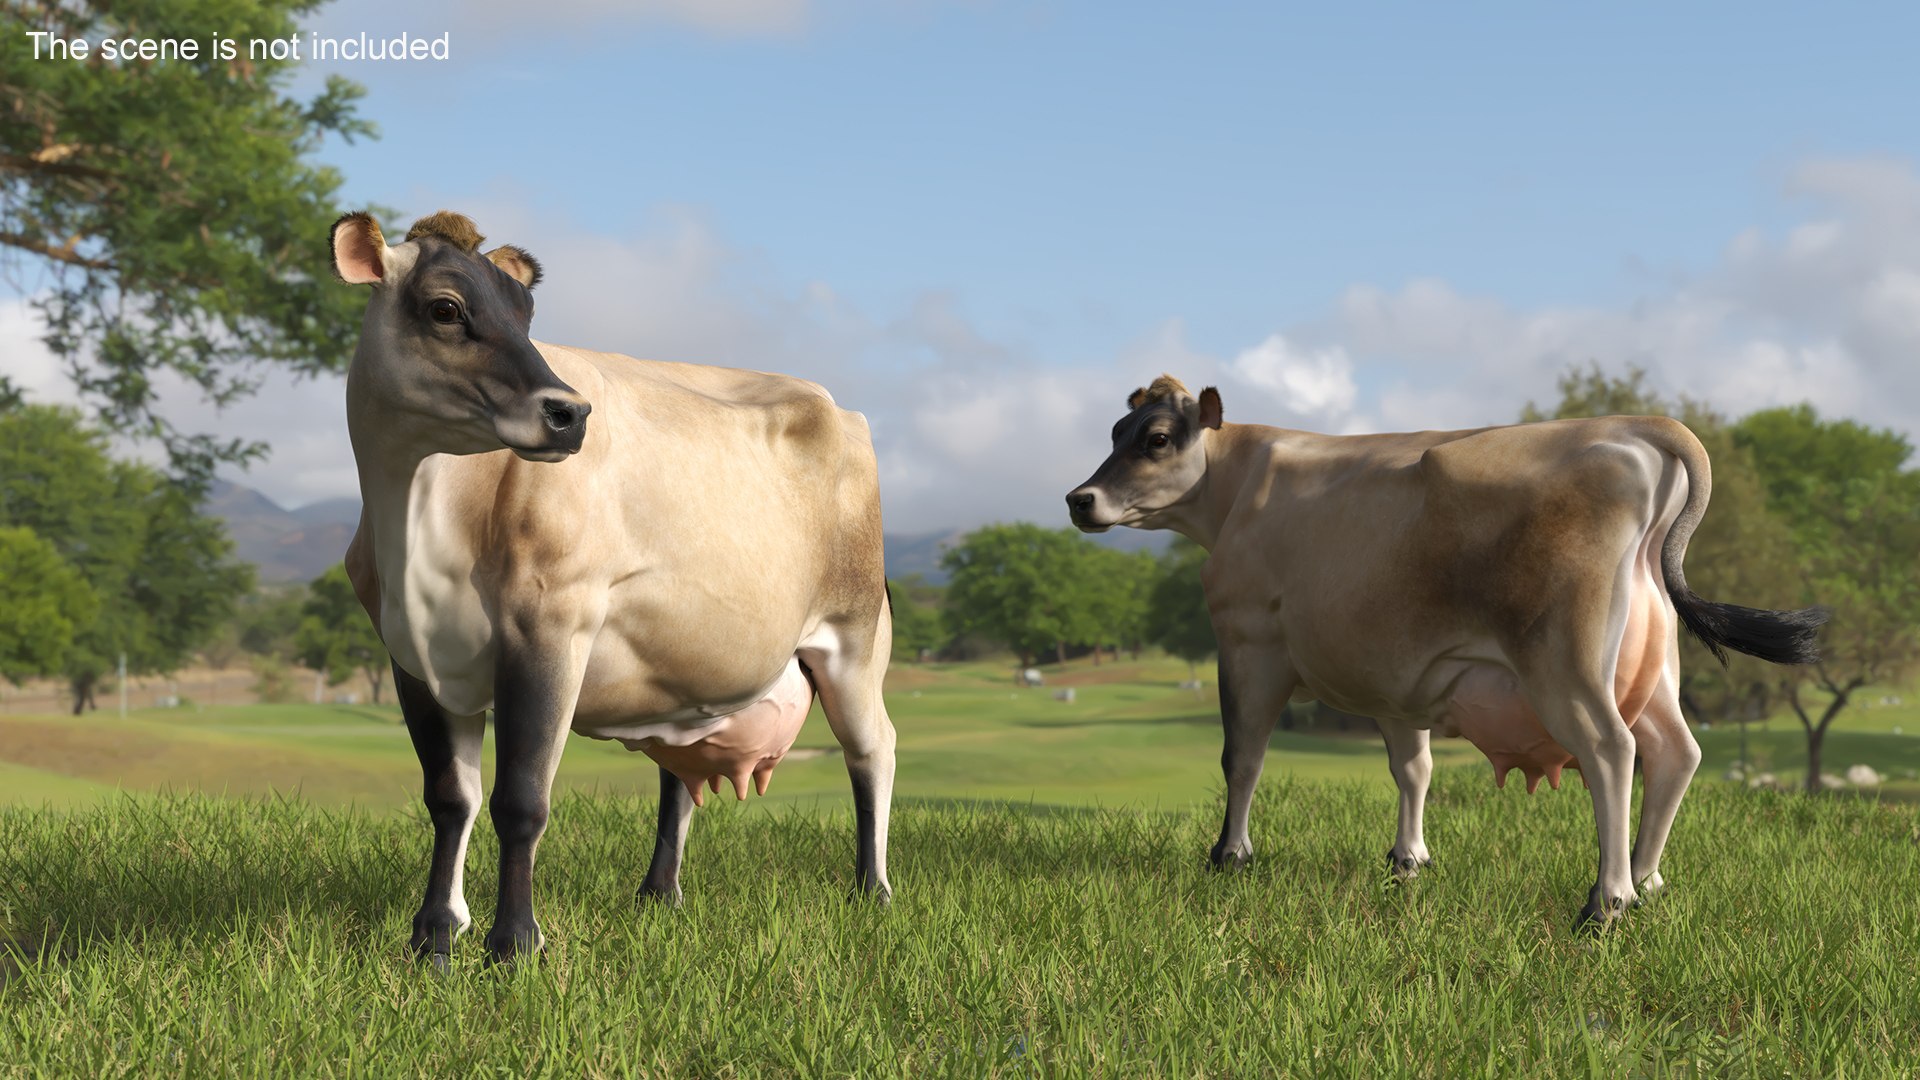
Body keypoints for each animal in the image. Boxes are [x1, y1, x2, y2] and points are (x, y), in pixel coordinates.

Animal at [329, 210, 897, 966]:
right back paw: (658, 895)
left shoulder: (549, 627)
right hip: (689, 666)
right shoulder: (409, 654)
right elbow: (451, 799)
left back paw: (872, 891)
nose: (569, 413)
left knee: (872, 750)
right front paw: (434, 937)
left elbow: (521, 801)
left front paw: (515, 944)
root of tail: (837, 406)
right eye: (445, 308)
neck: (420, 523)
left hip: (854, 636)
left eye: (526, 312)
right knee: (678, 778)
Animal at [1065, 375, 1825, 929]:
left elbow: (1242, 757)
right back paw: (1647, 878)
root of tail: (1628, 426)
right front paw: (1408, 860)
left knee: (1613, 751)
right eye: (1116, 433)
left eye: (1157, 439)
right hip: (1653, 664)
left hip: (1566, 664)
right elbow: (1415, 770)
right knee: (1676, 753)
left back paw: (1607, 901)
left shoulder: (1249, 643)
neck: (1240, 483)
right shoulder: (1398, 679)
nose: (1079, 498)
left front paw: (1230, 856)